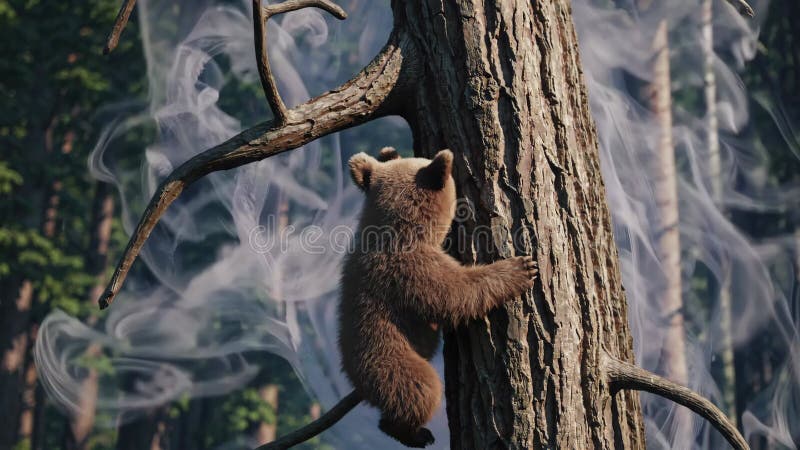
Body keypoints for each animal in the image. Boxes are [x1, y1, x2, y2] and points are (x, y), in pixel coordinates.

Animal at [338, 147, 538, 448]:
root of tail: (353, 379)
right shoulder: (410, 272)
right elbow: (458, 294)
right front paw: (521, 268)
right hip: (387, 357)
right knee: (418, 389)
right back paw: (412, 432)